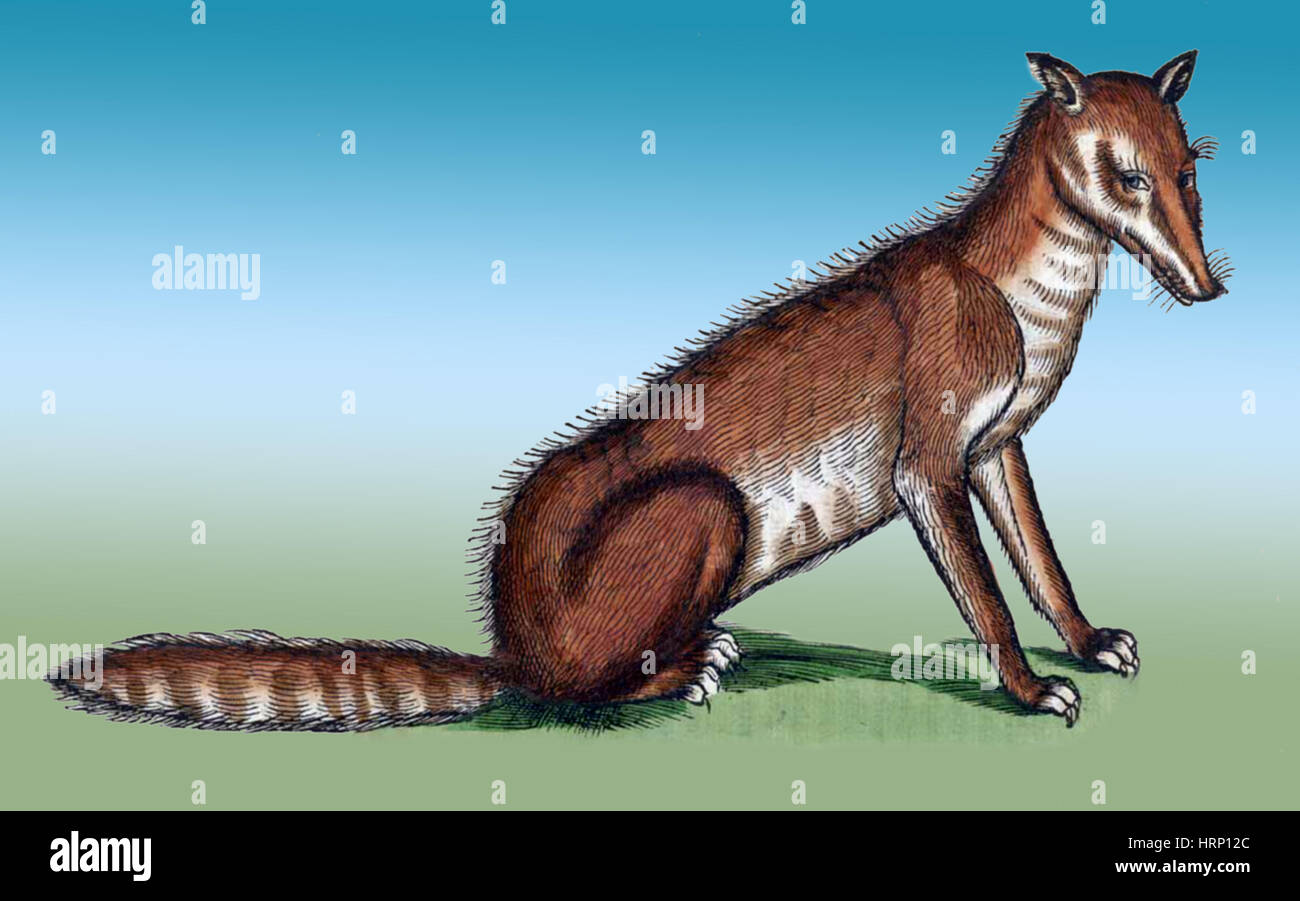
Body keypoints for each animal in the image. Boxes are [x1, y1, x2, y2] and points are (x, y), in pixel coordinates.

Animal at [51, 51, 1228, 730]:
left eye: (1189, 172)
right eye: (1125, 177)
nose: (1208, 286)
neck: (1021, 298)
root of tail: (509, 646)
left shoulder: (999, 447)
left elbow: (1042, 562)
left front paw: (1090, 640)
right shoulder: (928, 462)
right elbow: (985, 593)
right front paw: (1032, 690)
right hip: (708, 506)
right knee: (581, 695)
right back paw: (684, 670)